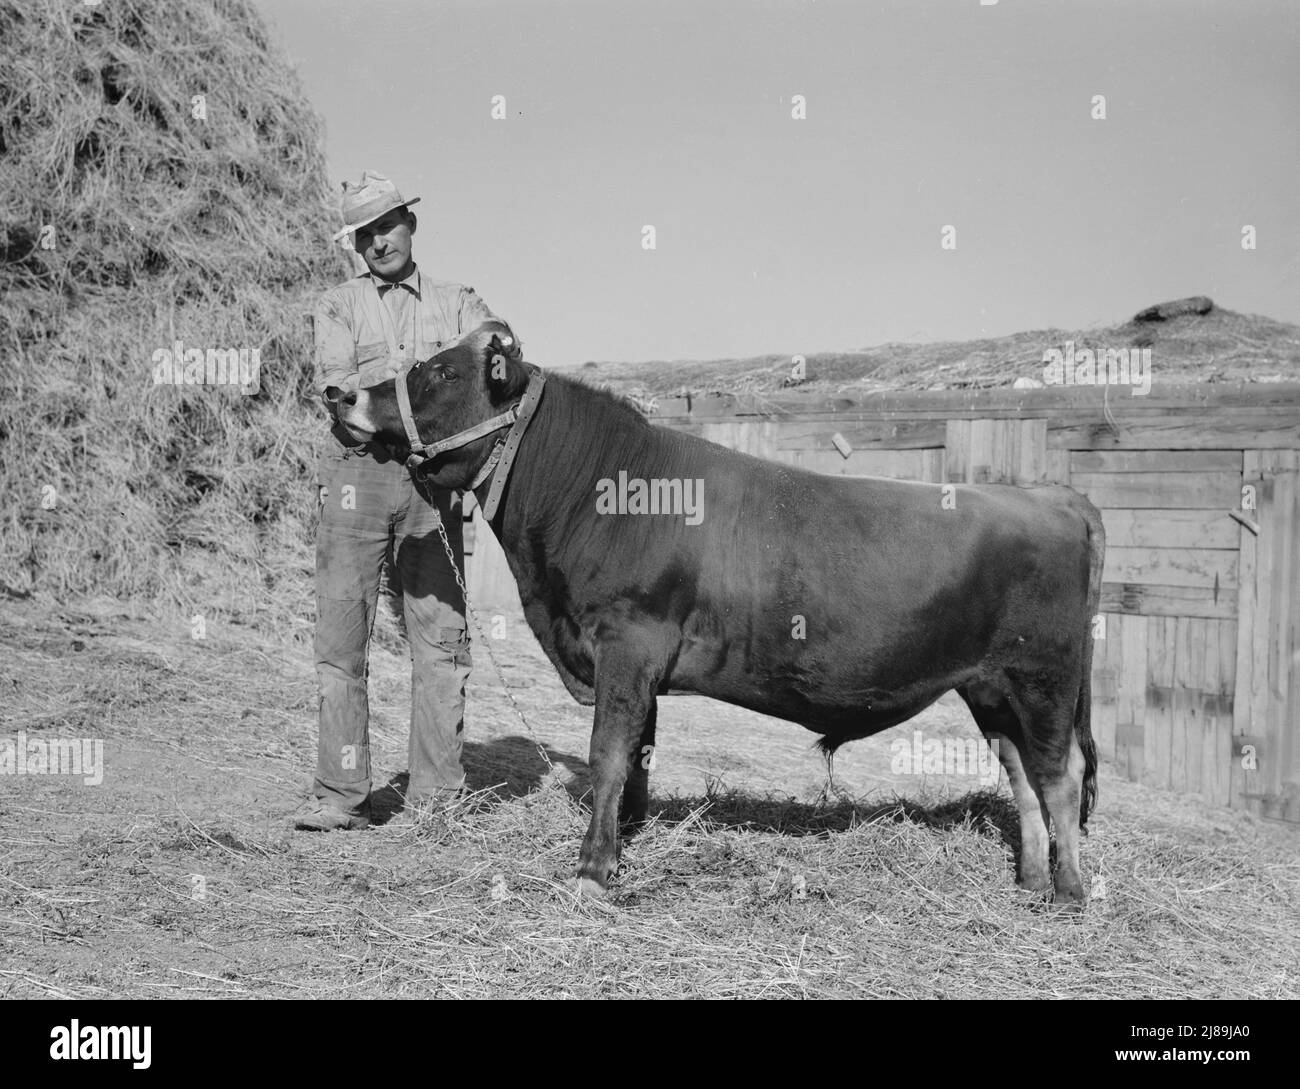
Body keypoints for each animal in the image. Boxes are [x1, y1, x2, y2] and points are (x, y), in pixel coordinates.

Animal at [328, 321, 1106, 909]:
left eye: (439, 373)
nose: (339, 393)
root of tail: (1054, 496)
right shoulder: (635, 664)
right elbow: (635, 756)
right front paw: (622, 841)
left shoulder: (627, 643)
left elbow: (608, 754)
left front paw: (591, 870)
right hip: (990, 686)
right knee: (1023, 776)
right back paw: (1031, 881)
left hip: (1044, 677)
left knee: (1059, 775)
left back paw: (1070, 890)